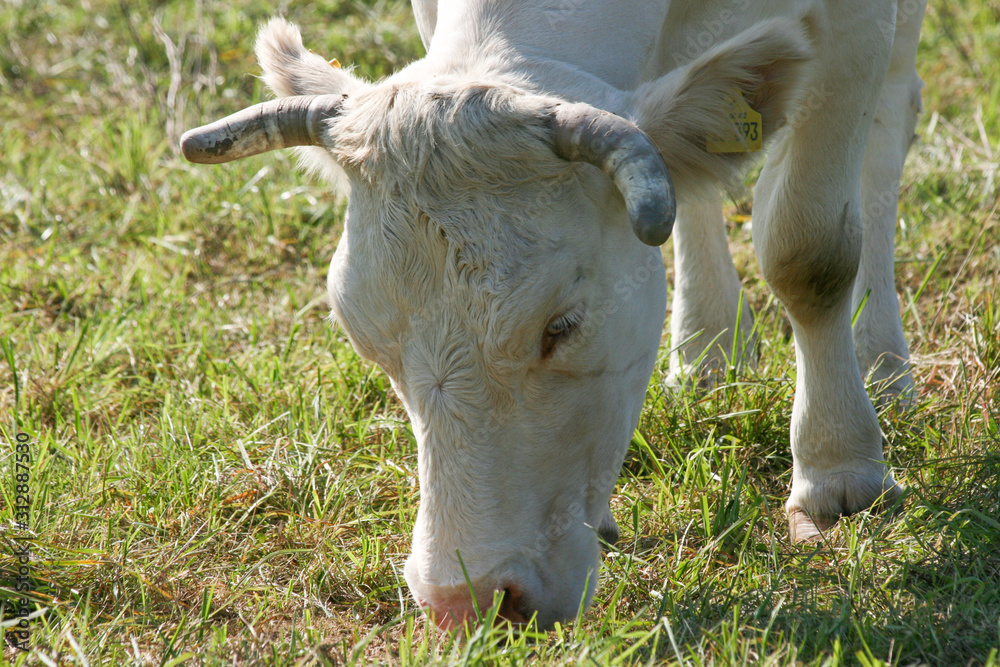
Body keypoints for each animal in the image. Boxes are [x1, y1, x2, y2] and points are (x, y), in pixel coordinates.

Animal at [181, 0, 926, 631]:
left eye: (560, 327)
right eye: (370, 344)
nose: (465, 601)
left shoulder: (856, 26)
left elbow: (809, 250)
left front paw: (839, 469)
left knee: (889, 118)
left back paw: (883, 363)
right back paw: (709, 350)